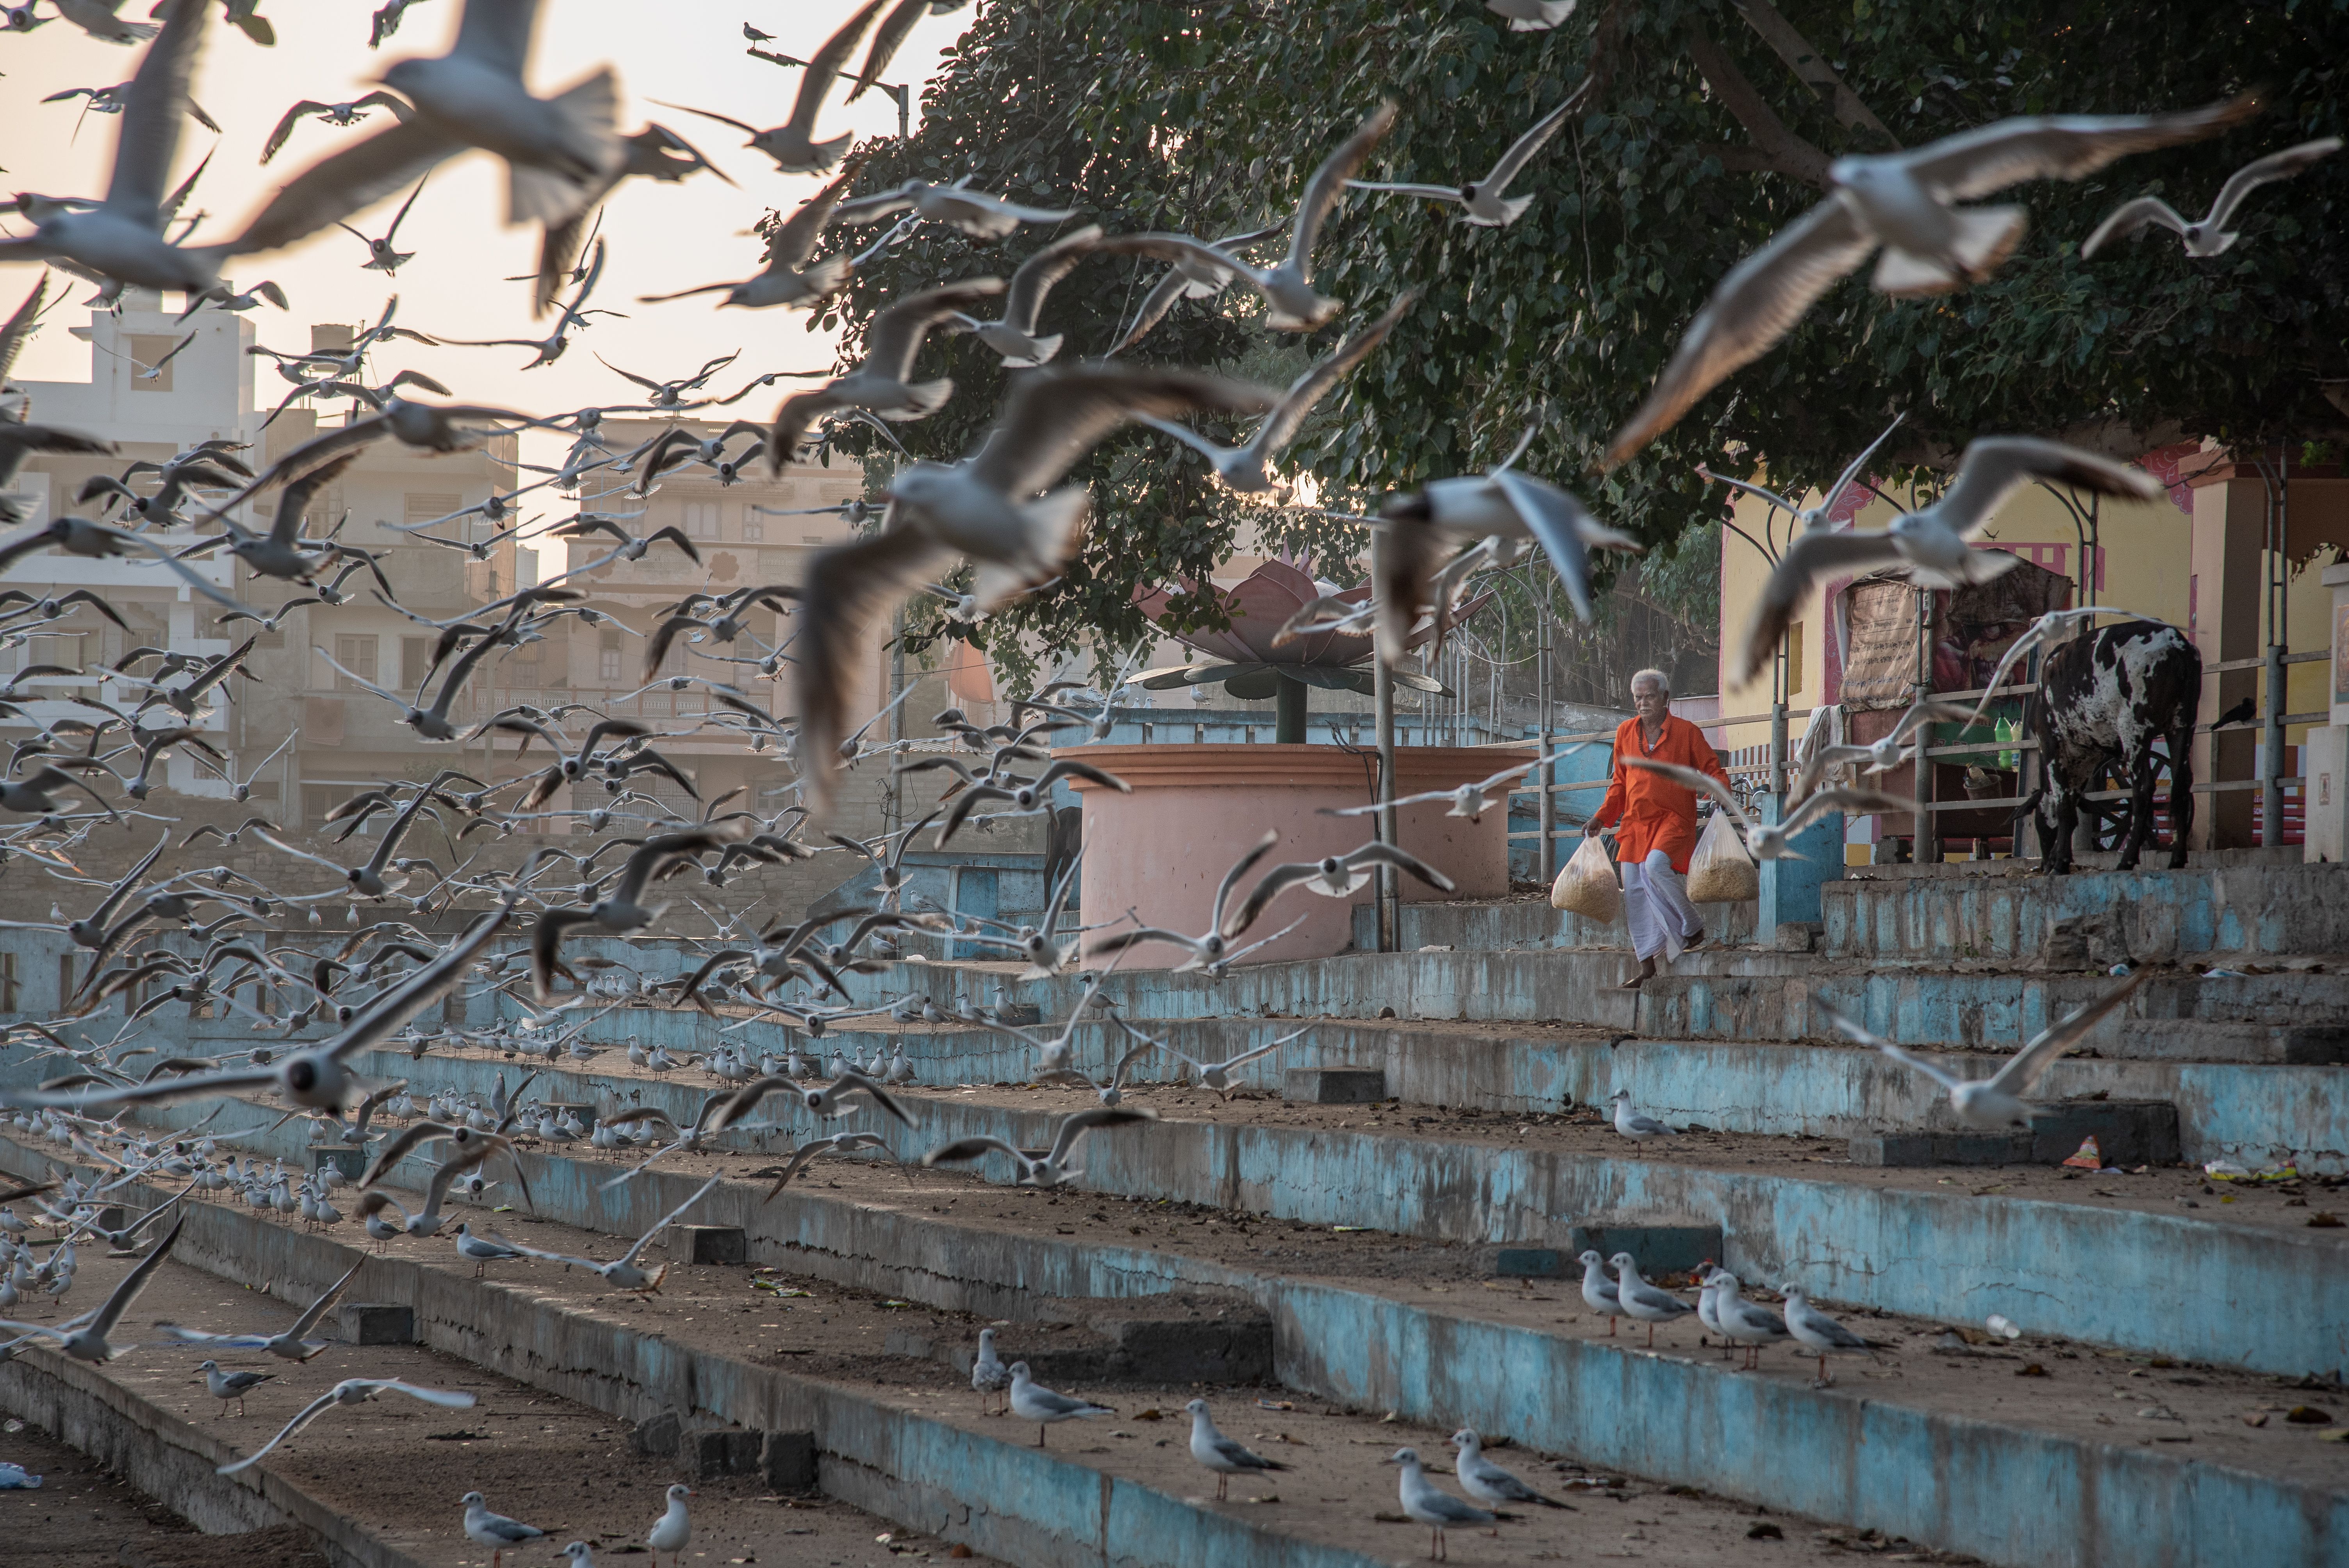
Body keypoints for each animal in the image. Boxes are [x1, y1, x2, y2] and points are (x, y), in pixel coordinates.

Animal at [2023, 619, 2200, 874]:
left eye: (2038, 824)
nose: (2044, 865)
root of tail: (2175, 643)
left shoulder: (2052, 745)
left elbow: (2065, 806)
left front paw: (2061, 864)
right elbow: (2072, 804)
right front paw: (2060, 860)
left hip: (2134, 730)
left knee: (2143, 788)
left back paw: (2127, 860)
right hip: (2182, 725)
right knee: (2182, 784)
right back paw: (2176, 859)